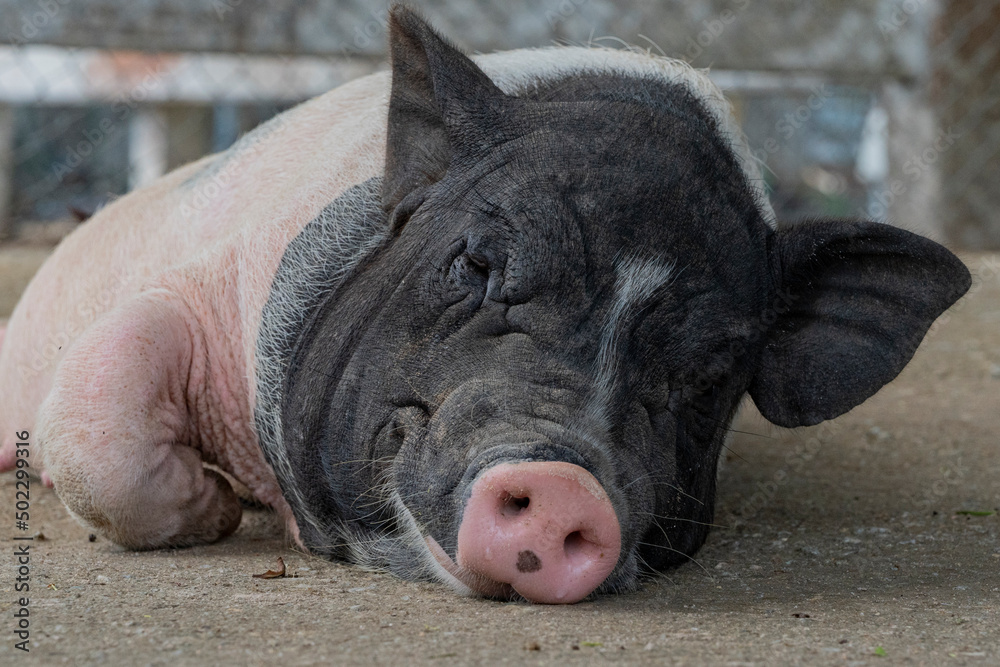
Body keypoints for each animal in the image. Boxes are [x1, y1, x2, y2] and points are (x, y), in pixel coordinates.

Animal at [0, 7, 971, 603]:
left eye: (710, 374)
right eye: (474, 263)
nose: (561, 477)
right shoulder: (207, 278)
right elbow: (105, 408)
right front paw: (219, 508)